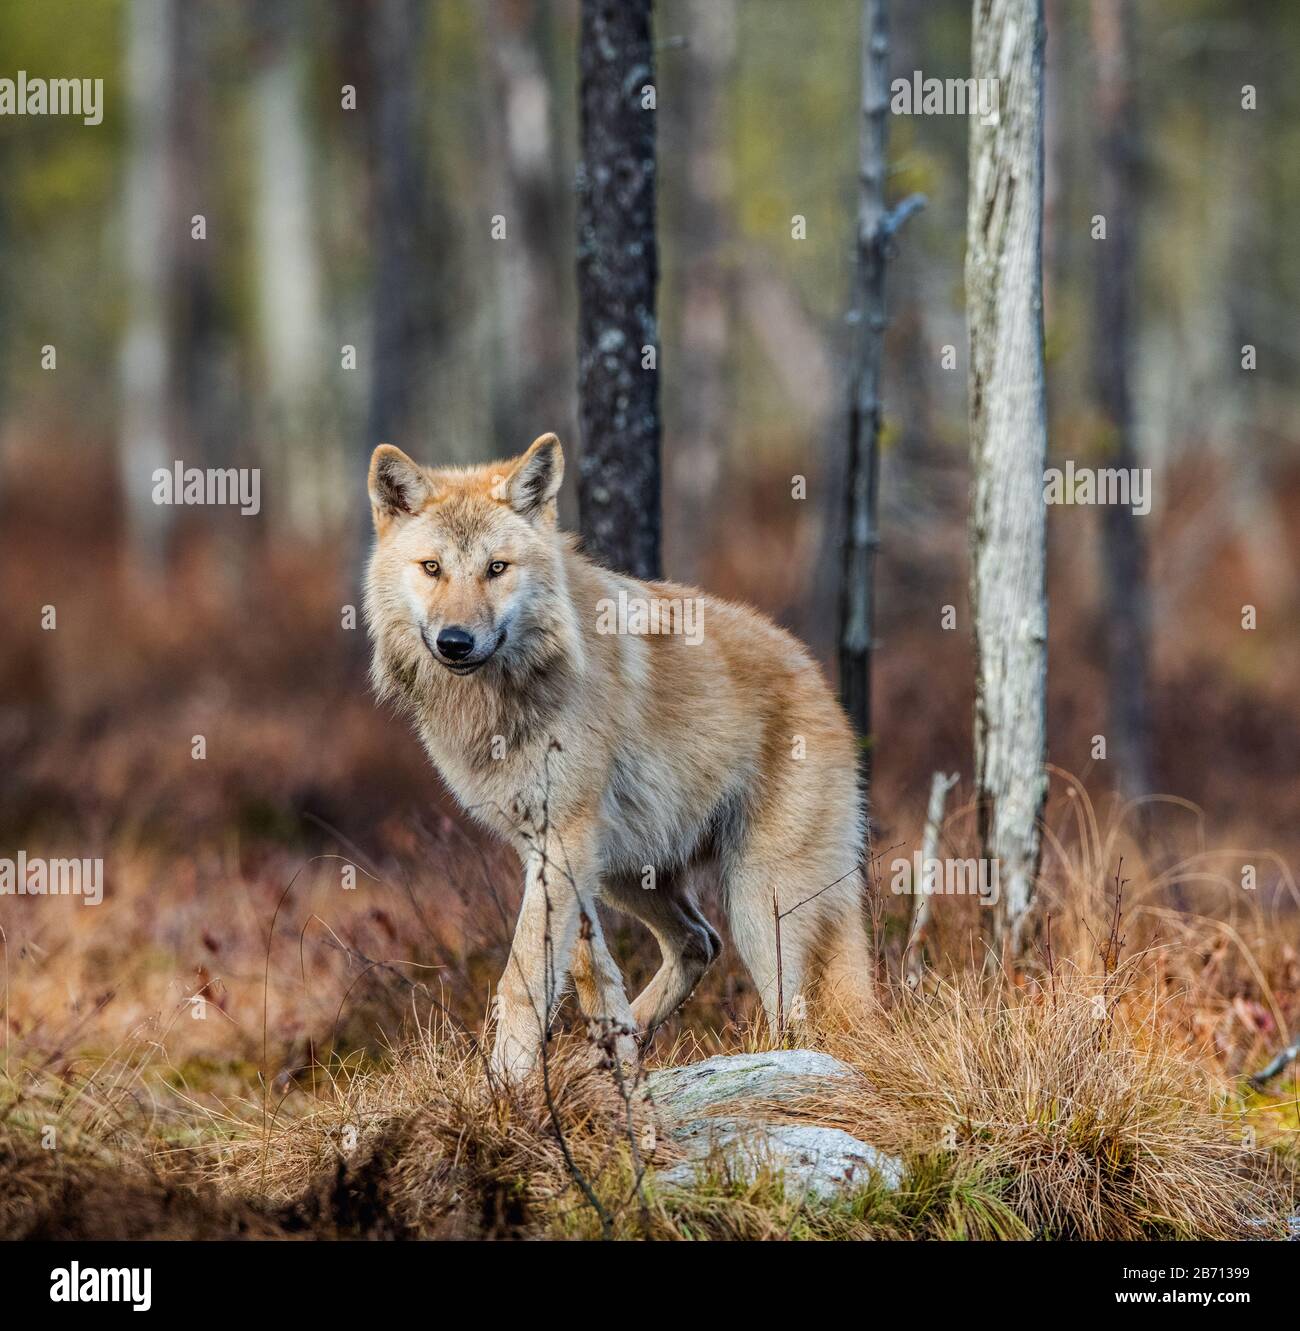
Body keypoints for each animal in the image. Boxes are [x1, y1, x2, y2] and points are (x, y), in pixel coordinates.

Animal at [365, 433, 873, 1078]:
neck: (505, 699)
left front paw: (505, 1086)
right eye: (432, 568)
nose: (456, 641)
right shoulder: (549, 849)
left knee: (793, 1010)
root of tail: (820, 681)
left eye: (496, 569)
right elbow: (589, 968)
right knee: (698, 943)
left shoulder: (565, 838)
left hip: (760, 901)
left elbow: (522, 978)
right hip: (630, 875)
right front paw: (610, 1061)